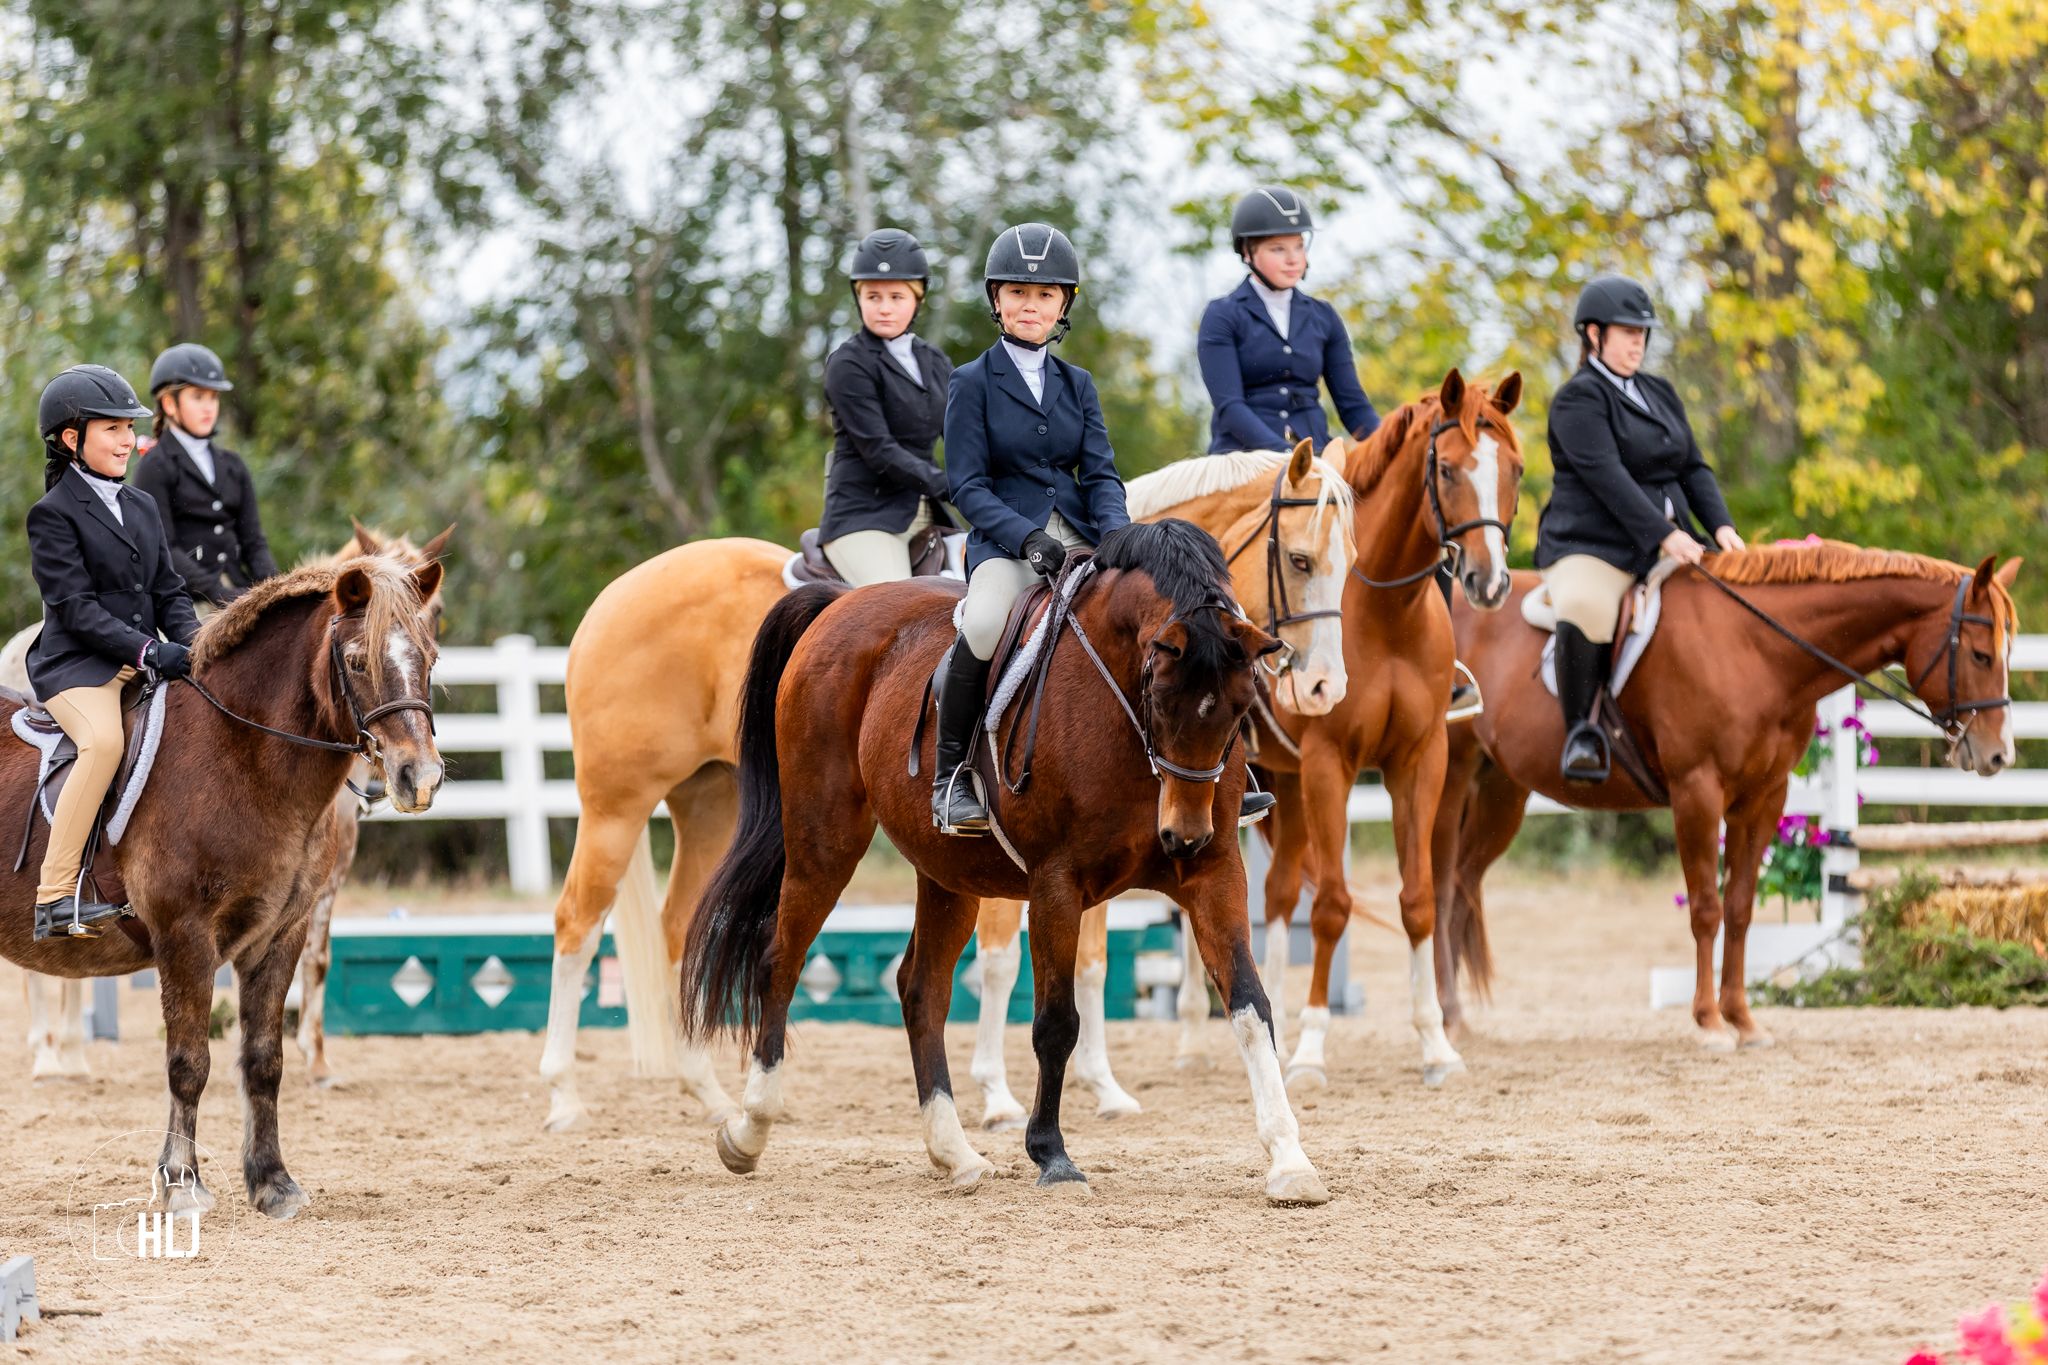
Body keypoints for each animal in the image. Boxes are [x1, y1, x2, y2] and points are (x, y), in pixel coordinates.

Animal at [0, 551, 445, 1217]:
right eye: (356, 661)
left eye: (431, 655)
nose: (419, 778)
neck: (243, 758)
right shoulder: (185, 937)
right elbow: (189, 1062)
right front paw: (181, 1182)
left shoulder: (280, 935)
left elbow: (262, 1061)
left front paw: (273, 1183)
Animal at [680, 521, 1332, 1205]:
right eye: (1160, 695)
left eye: (1241, 706)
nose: (1182, 835)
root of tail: (839, 604)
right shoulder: (1056, 884)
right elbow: (1056, 1023)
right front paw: (1052, 1155)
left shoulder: (1214, 873)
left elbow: (1251, 1006)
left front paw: (1290, 1159)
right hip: (824, 842)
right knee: (780, 960)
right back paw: (748, 1130)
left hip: (947, 874)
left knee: (921, 989)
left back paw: (954, 1152)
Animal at [966, 437, 1358, 1129]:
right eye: (1300, 559)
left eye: (1351, 565)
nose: (1324, 689)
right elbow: (1000, 956)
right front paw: (996, 1094)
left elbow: (1092, 962)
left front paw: (1103, 1086)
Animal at [1168, 369, 1525, 1091]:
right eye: (1448, 468)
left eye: (1515, 470)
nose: (1490, 580)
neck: (1386, 613)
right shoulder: (1330, 763)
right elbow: (1331, 904)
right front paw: (1311, 1052)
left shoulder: (1419, 760)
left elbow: (1418, 899)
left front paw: (1435, 1046)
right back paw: (1194, 1038)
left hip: (1283, 783)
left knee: (1277, 895)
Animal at [1434, 541, 2021, 1048]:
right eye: (1980, 655)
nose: (1999, 756)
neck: (1755, 650)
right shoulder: (1697, 791)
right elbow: (1706, 908)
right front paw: (1710, 1022)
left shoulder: (1764, 797)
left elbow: (1740, 908)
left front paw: (1743, 1019)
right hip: (1450, 778)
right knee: (1439, 885)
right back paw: (1443, 1017)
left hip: (1501, 792)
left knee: (1461, 883)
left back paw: (1457, 1021)